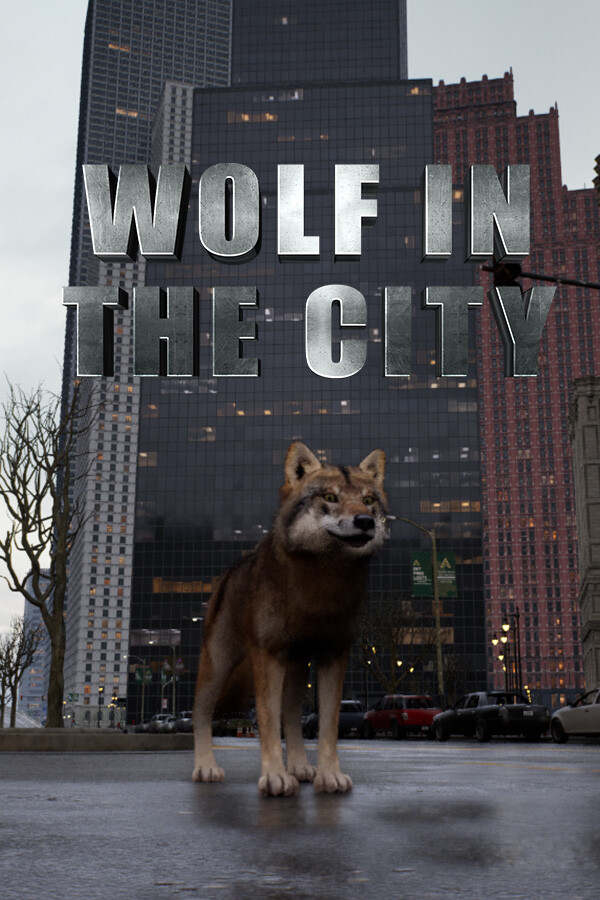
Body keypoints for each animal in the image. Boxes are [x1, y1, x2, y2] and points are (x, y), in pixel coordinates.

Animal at [192, 441, 389, 796]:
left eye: (368, 500)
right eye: (330, 496)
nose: (365, 521)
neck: (321, 580)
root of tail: (231, 569)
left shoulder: (333, 655)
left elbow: (326, 726)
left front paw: (329, 775)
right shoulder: (268, 655)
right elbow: (268, 721)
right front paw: (275, 777)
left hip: (297, 667)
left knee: (292, 715)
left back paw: (299, 766)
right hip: (219, 665)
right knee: (201, 711)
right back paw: (205, 767)